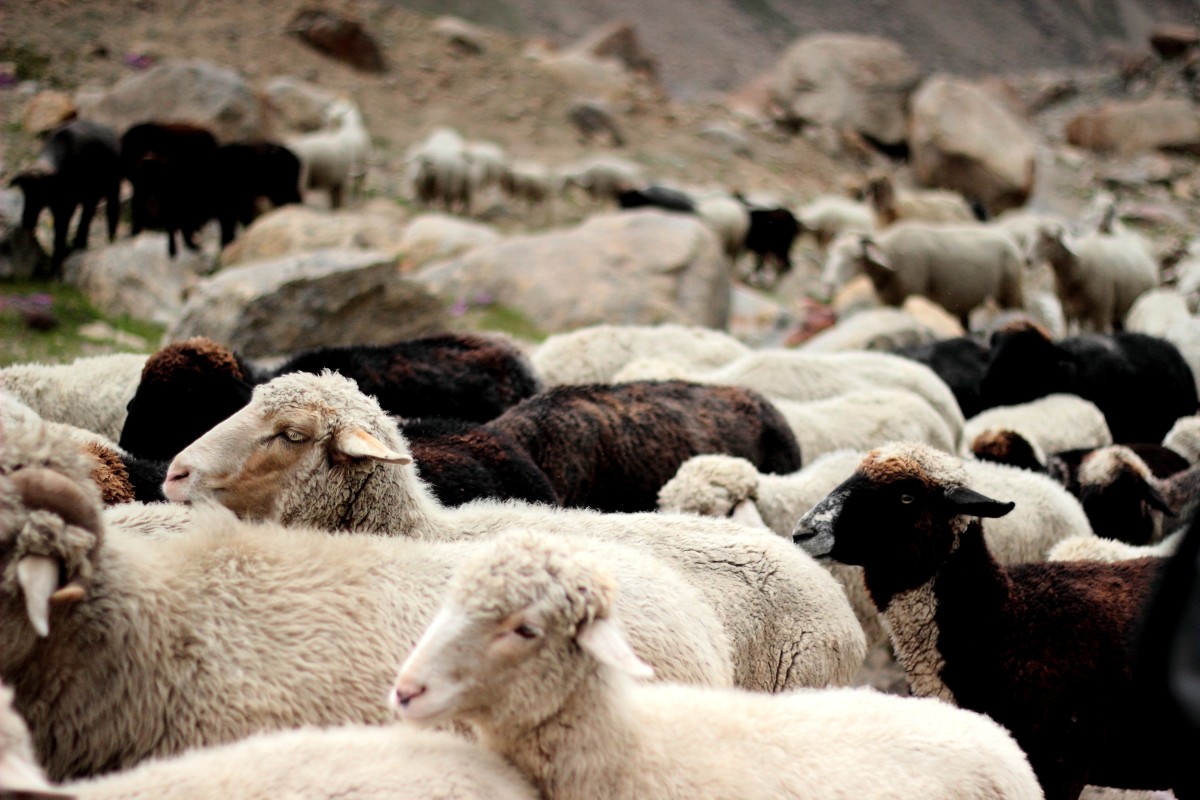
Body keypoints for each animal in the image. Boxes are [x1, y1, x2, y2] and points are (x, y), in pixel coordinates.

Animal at [9, 119, 122, 274]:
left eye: (41, 192)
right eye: (24, 191)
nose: (28, 221)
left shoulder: (67, 206)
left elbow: (60, 234)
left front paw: (56, 266)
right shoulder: (56, 205)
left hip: (113, 188)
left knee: (112, 212)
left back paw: (110, 241)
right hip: (90, 196)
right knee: (87, 216)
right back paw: (79, 243)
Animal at [822, 222, 1025, 327]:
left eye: (855, 258)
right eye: (830, 254)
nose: (828, 285)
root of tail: (1011, 241)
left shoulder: (913, 294)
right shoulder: (887, 301)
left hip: (1011, 292)